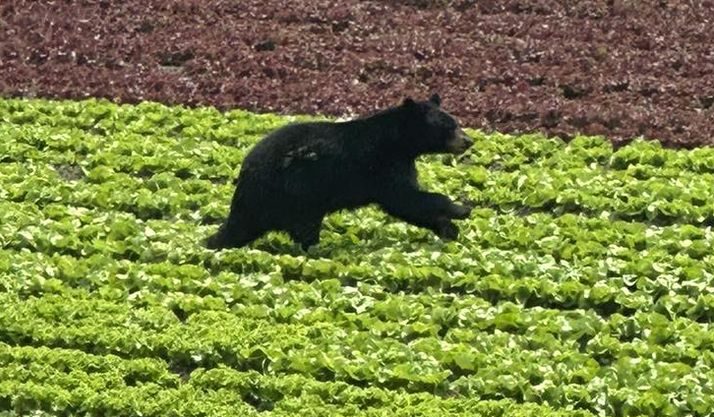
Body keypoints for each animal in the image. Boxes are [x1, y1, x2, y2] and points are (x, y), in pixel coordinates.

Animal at [205, 93, 474, 251]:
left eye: (456, 122)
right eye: (449, 126)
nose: (469, 141)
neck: (399, 143)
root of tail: (245, 178)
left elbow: (408, 206)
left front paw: (448, 227)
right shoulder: (382, 166)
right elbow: (405, 197)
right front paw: (460, 209)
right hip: (299, 191)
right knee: (304, 228)